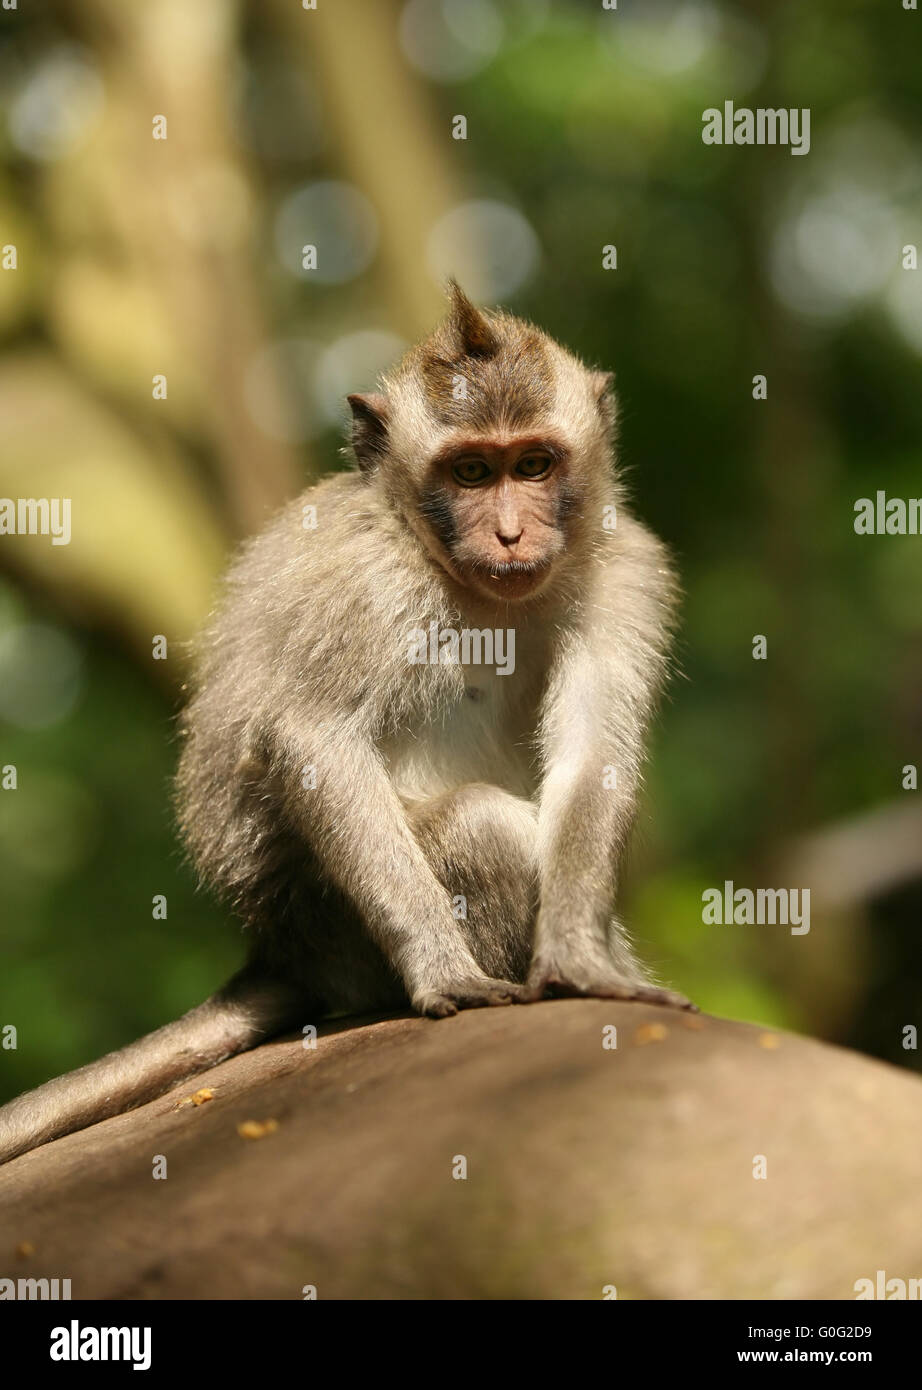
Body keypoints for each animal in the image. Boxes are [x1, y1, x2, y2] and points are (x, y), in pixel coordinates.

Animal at [0, 282, 692, 1165]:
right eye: (471, 472)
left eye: (533, 464)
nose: (510, 533)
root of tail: (278, 950)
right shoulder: (369, 578)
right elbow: (312, 738)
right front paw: (444, 969)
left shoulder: (625, 572)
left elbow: (591, 758)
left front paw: (577, 957)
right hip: (331, 921)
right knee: (481, 828)